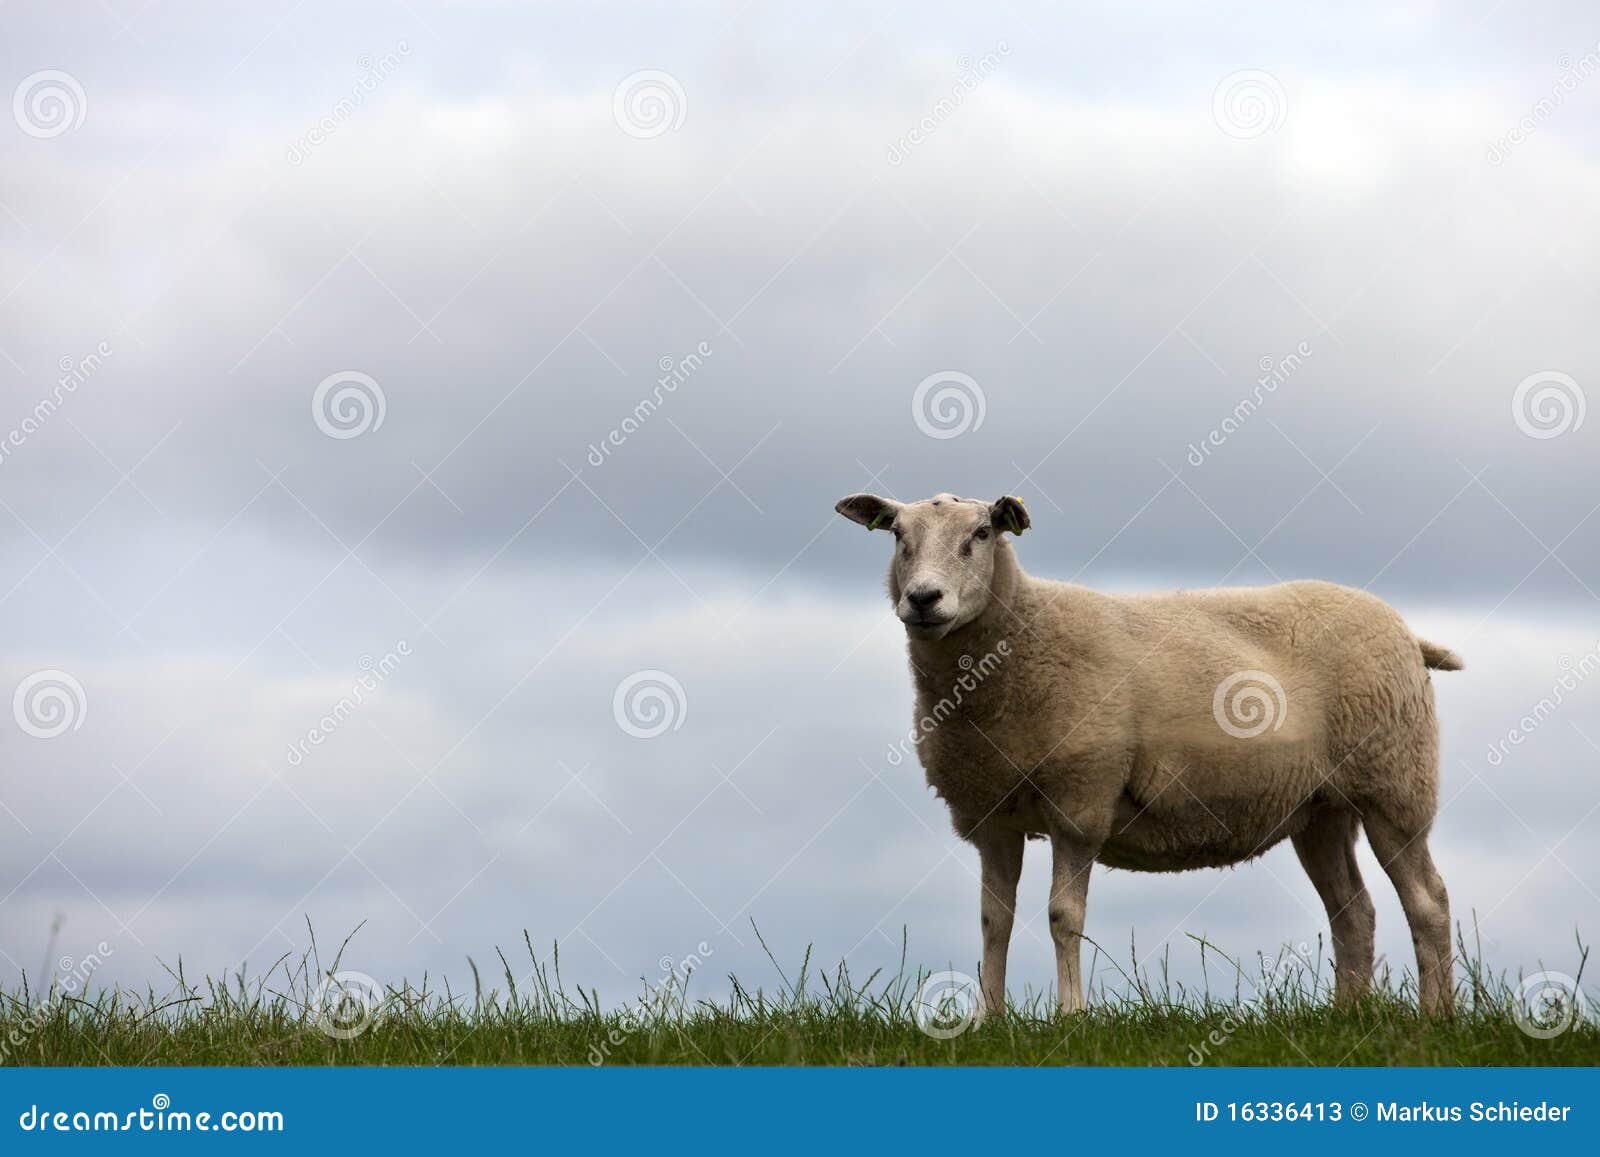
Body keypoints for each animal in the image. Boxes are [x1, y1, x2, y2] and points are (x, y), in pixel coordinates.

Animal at [836, 490, 1462, 1017]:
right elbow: (995, 920)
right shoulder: (991, 817)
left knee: (1427, 901)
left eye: (982, 532)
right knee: (1353, 912)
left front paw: (1071, 1016)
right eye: (897, 535)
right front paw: (989, 1020)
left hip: (1394, 785)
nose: (923, 599)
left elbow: (1063, 917)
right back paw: (1347, 1017)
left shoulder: (1081, 801)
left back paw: (1437, 1016)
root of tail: (1405, 631)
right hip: (1321, 809)